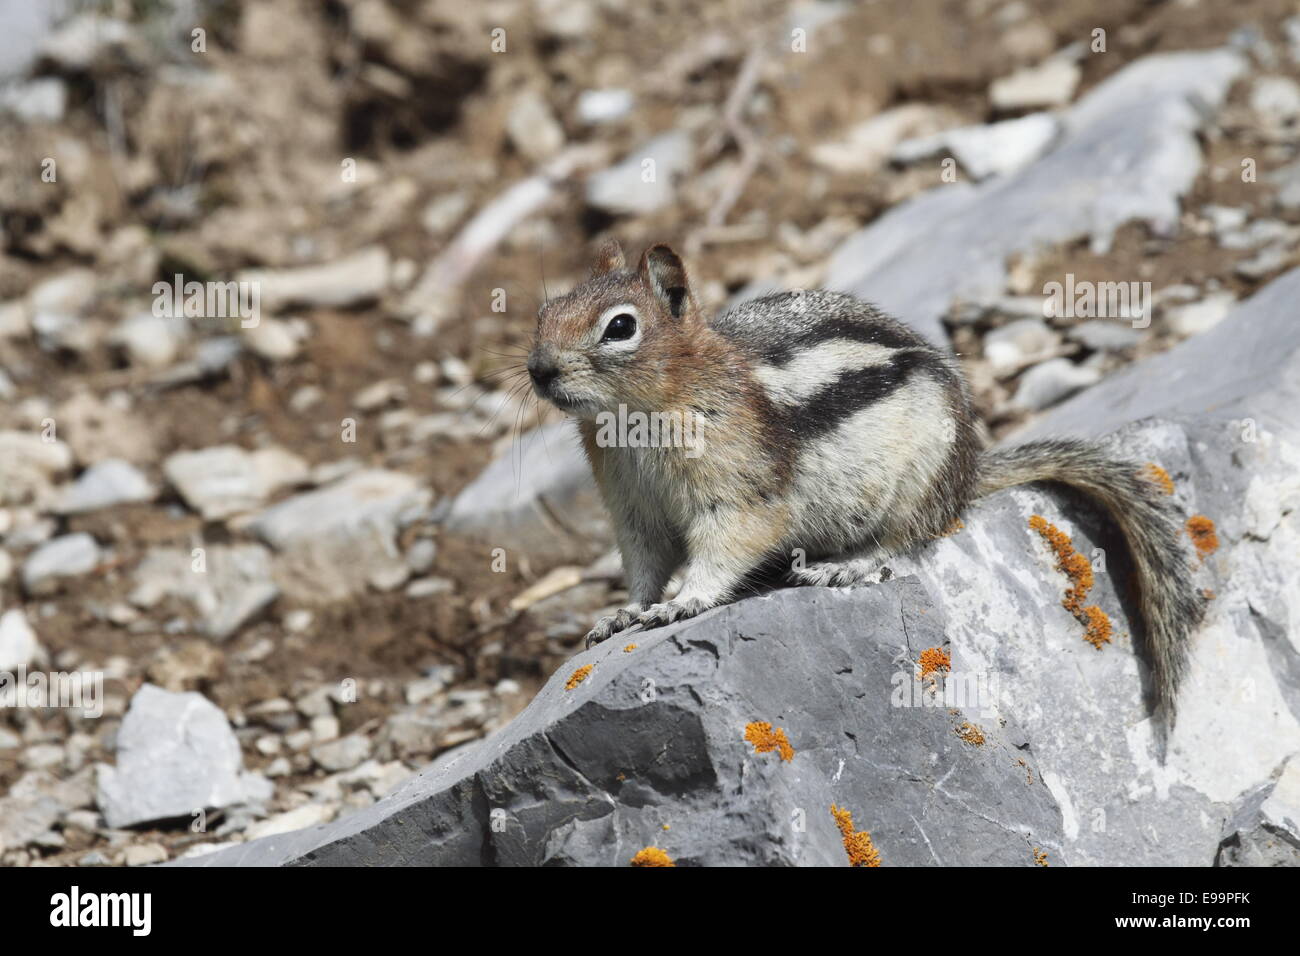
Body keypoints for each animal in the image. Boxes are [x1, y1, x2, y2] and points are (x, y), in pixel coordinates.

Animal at [527, 239, 1205, 729]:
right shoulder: (633, 512)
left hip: (917, 481)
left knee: (904, 543)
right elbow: (644, 564)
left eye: (620, 328)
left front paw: (683, 601)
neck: (640, 416)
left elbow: (727, 548)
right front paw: (623, 613)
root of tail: (967, 472)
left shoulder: (740, 494)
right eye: (544, 312)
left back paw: (843, 566)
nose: (538, 370)